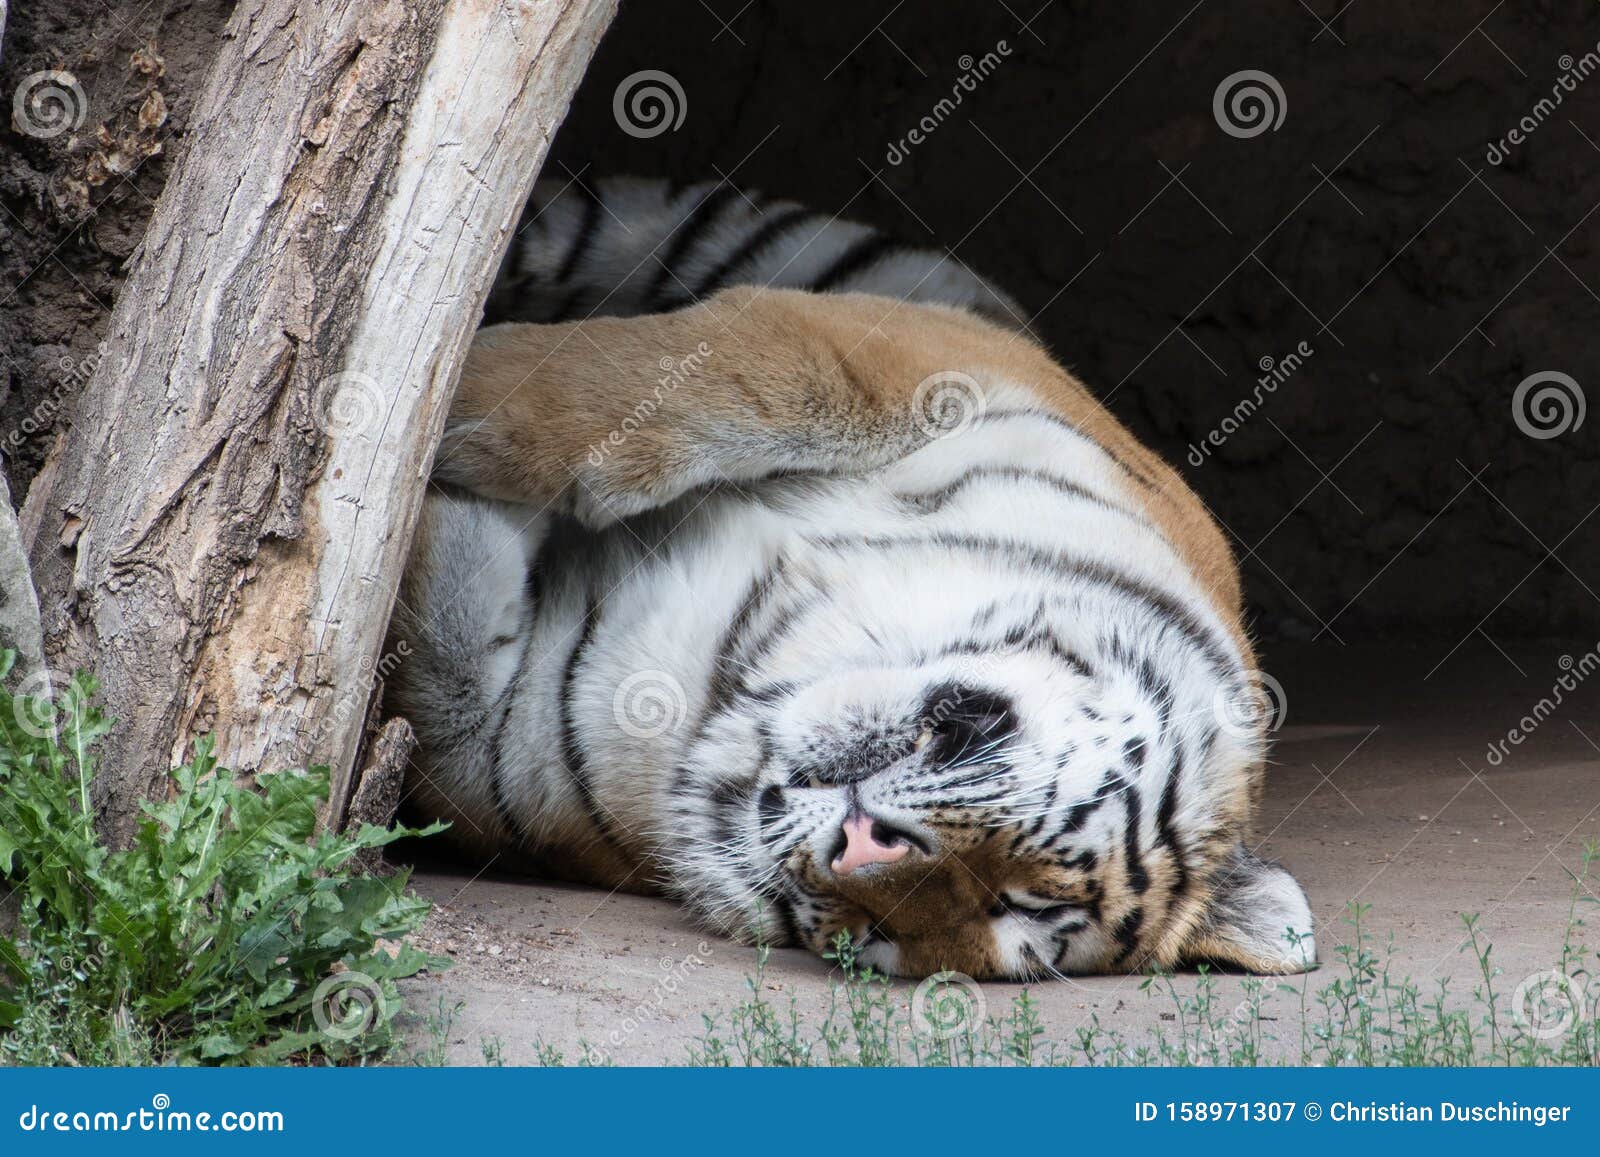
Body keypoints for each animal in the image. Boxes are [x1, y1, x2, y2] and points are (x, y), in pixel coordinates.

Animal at [385, 175, 1316, 980]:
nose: (862, 849)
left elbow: (442, 674)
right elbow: (730, 377)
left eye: (870, 937)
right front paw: (455, 399)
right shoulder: (923, 360)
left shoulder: (506, 748)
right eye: (1034, 892)